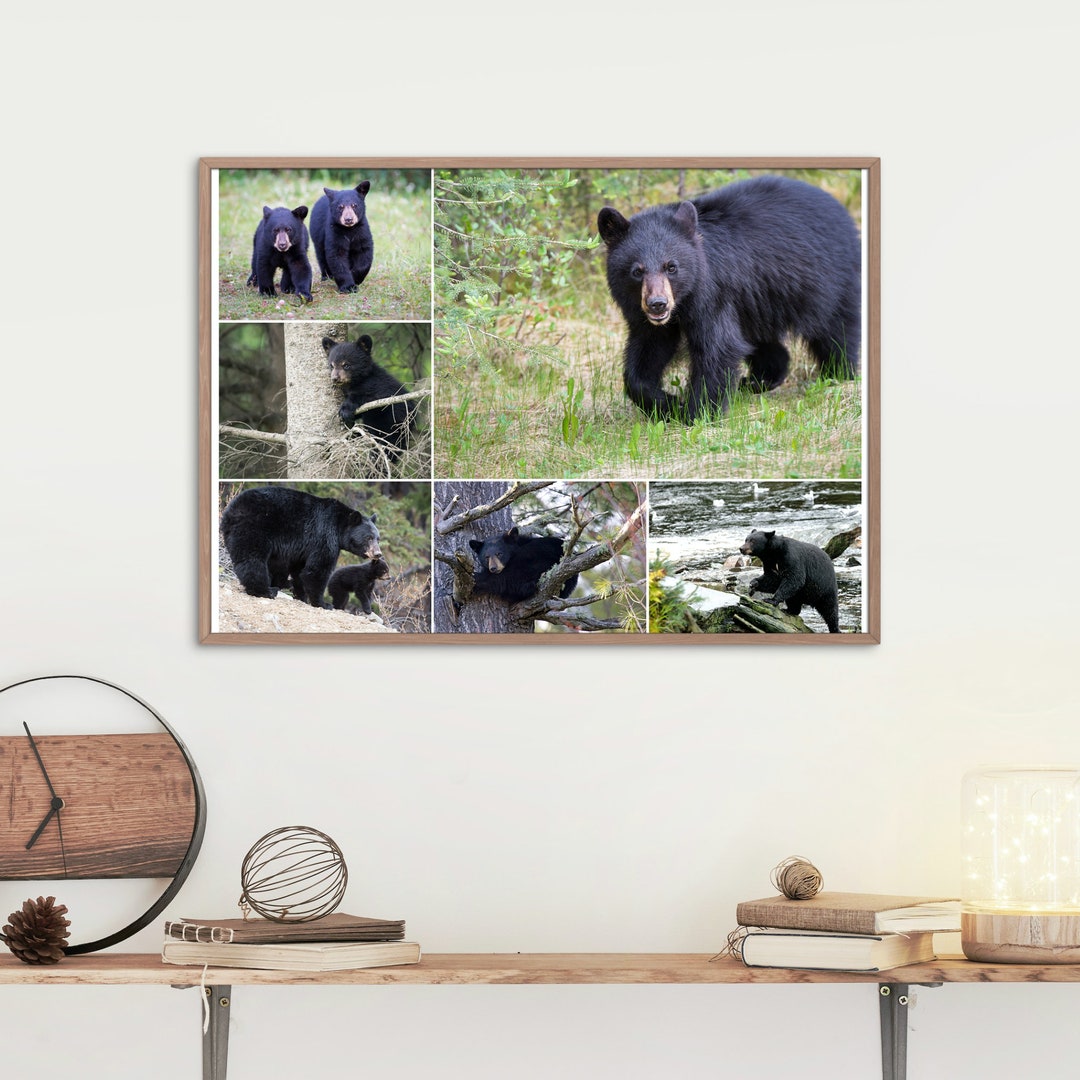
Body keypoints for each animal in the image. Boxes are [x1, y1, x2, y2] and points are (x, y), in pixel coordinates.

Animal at [220, 486, 381, 608]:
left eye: (378, 538)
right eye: (368, 538)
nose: (378, 554)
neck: (339, 526)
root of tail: (230, 511)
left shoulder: (303, 548)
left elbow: (300, 570)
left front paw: (301, 596)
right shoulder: (324, 536)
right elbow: (317, 569)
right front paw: (323, 603)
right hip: (254, 527)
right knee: (252, 558)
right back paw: (265, 590)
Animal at [598, 175, 860, 422]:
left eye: (671, 267)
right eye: (637, 271)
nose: (658, 304)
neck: (683, 302)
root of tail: (842, 212)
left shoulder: (713, 295)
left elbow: (718, 348)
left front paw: (697, 413)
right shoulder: (646, 318)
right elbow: (646, 352)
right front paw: (666, 404)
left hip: (830, 282)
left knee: (837, 331)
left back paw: (838, 373)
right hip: (758, 302)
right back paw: (760, 379)